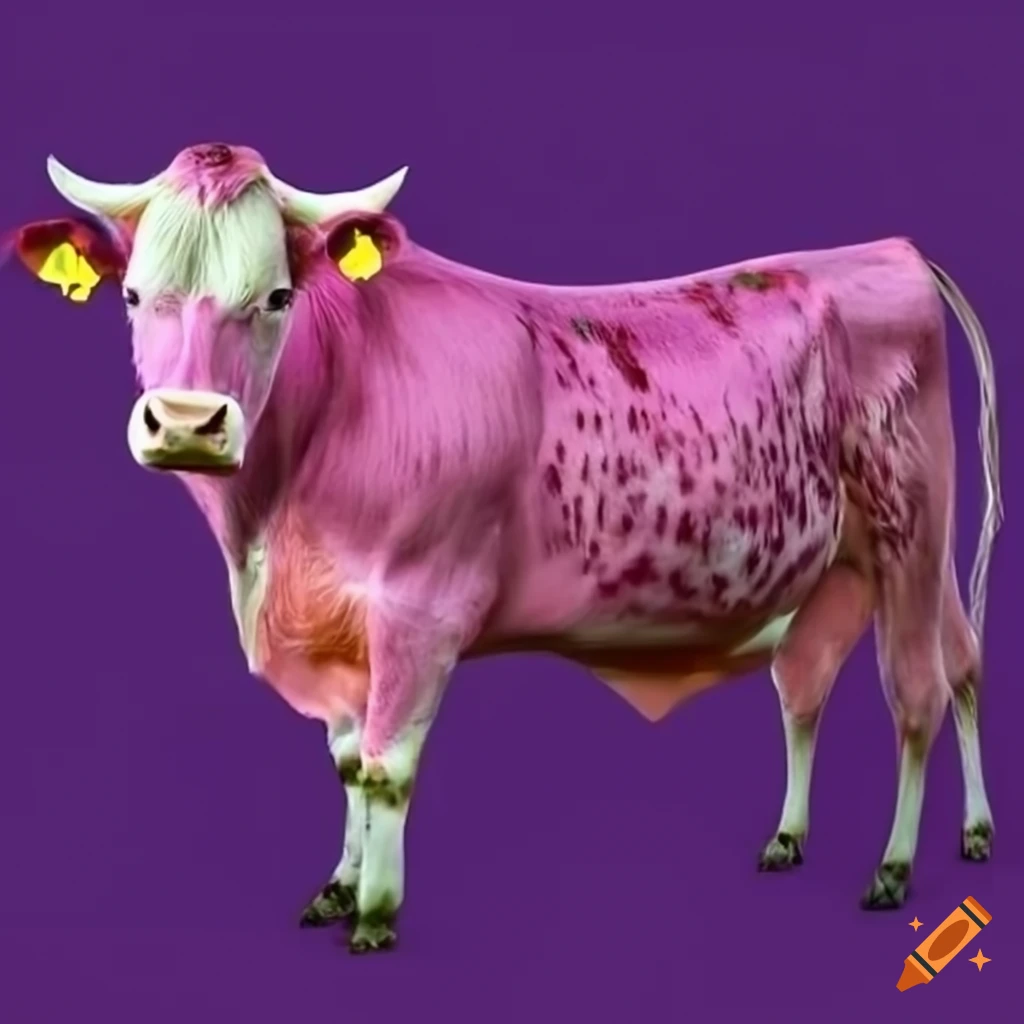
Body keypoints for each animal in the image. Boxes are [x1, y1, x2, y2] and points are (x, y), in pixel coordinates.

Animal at [5, 143, 1002, 953]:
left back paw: (896, 867)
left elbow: (386, 769)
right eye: (133, 295)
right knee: (856, 681)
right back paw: (872, 834)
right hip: (850, 564)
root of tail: (887, 251)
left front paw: (376, 913)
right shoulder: (333, 626)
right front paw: (338, 886)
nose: (186, 422)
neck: (268, 535)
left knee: (917, 691)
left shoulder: (420, 611)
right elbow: (345, 763)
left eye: (278, 296)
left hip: (912, 532)